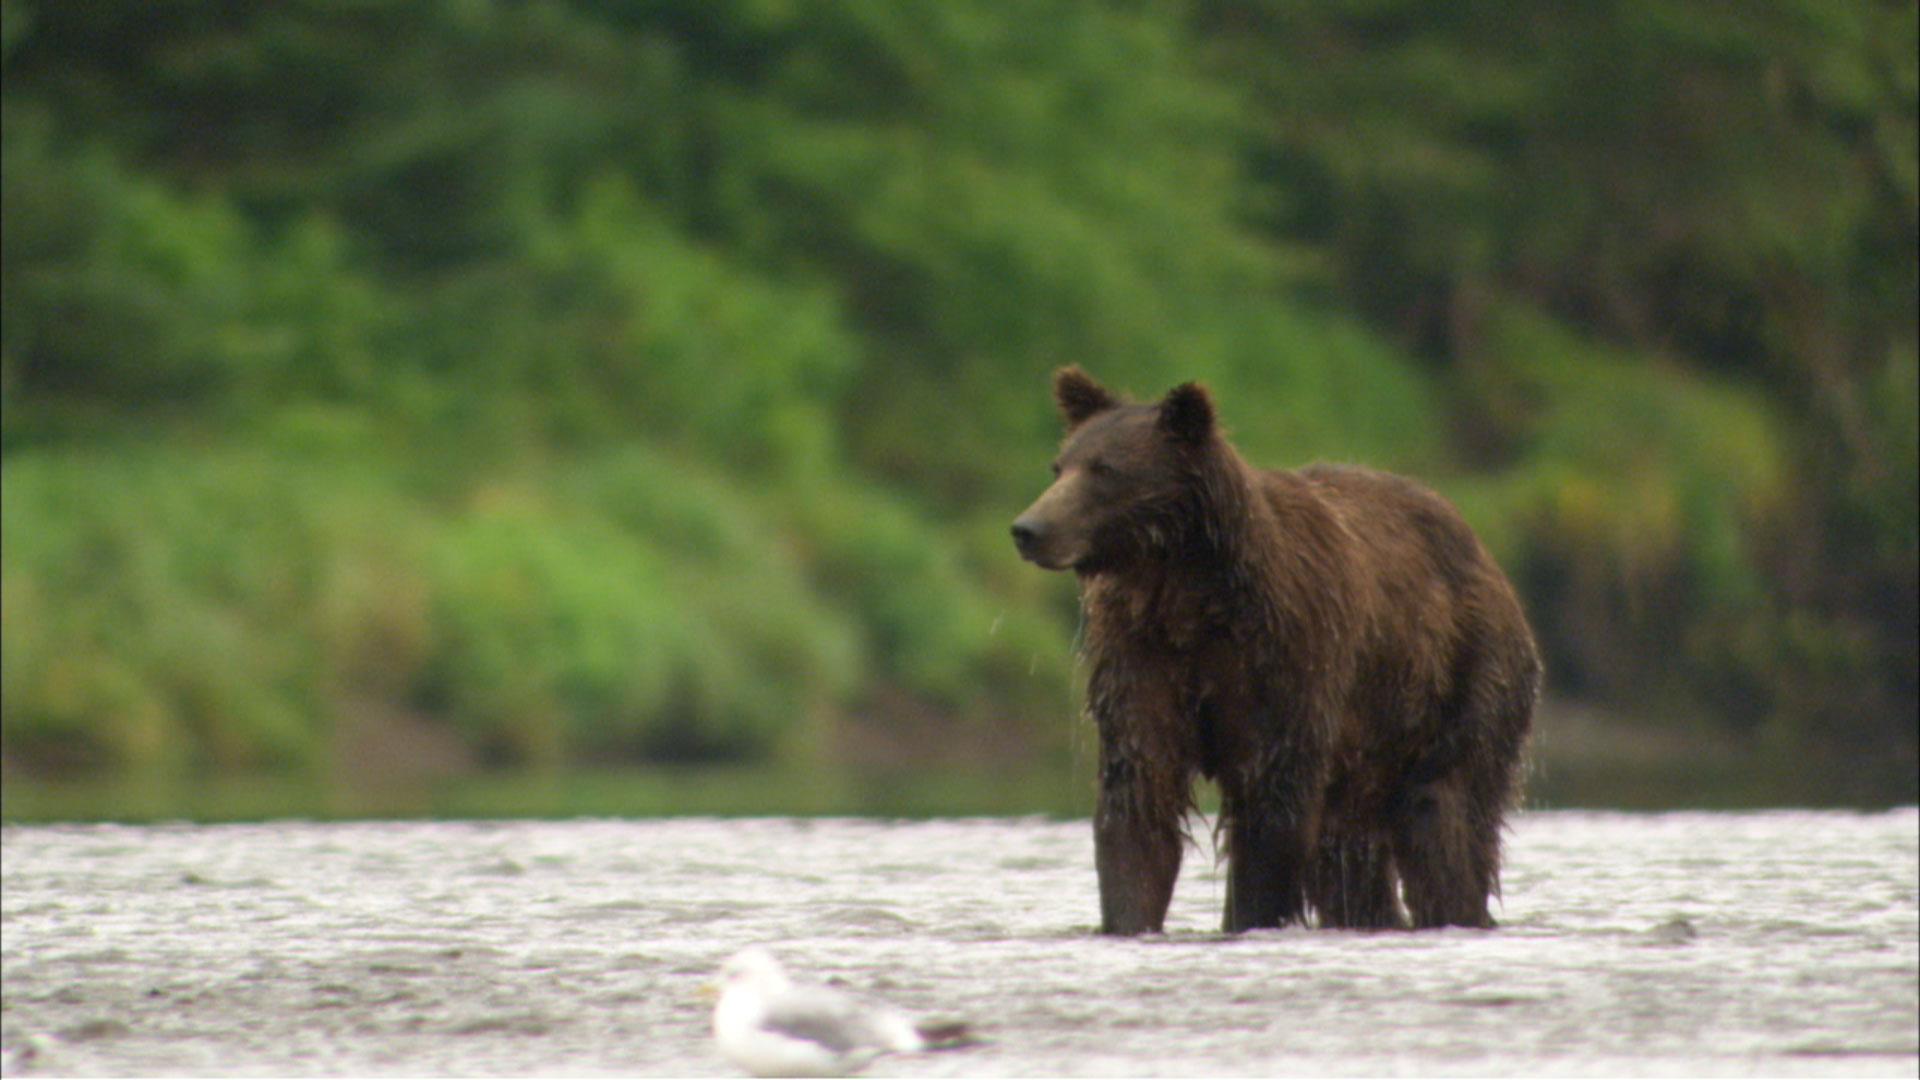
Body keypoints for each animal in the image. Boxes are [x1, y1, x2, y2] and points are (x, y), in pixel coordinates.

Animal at [1011, 367, 1540, 935]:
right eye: (1059, 465)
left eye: (1105, 469)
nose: (1028, 529)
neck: (1186, 592)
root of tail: (1485, 554)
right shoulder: (1143, 655)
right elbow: (1139, 797)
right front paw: (1129, 916)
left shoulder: (1286, 657)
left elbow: (1272, 813)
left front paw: (1248, 913)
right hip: (1368, 748)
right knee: (1351, 857)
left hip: (1461, 676)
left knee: (1443, 820)